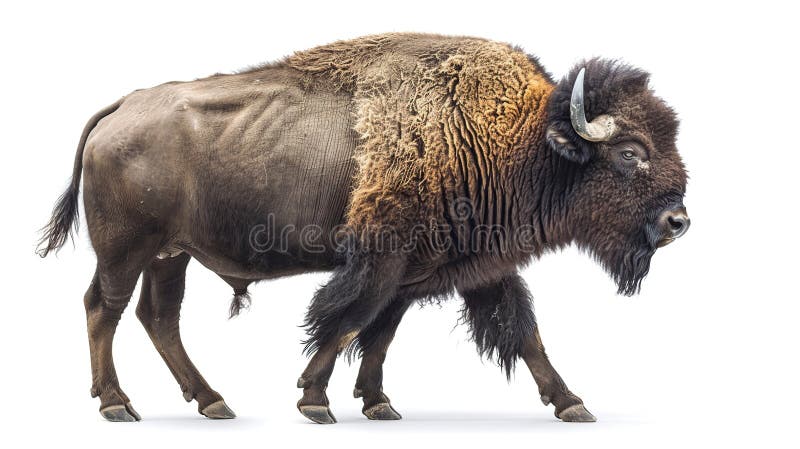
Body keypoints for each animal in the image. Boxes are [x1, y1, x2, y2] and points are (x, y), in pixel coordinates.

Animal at [39, 33, 690, 424]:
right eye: (630, 152)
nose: (678, 221)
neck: (515, 139)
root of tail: (120, 108)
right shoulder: (382, 260)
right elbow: (348, 321)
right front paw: (315, 401)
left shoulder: (454, 269)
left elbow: (502, 334)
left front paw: (571, 403)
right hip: (126, 250)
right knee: (104, 308)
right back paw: (118, 405)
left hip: (171, 255)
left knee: (159, 317)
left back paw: (213, 401)